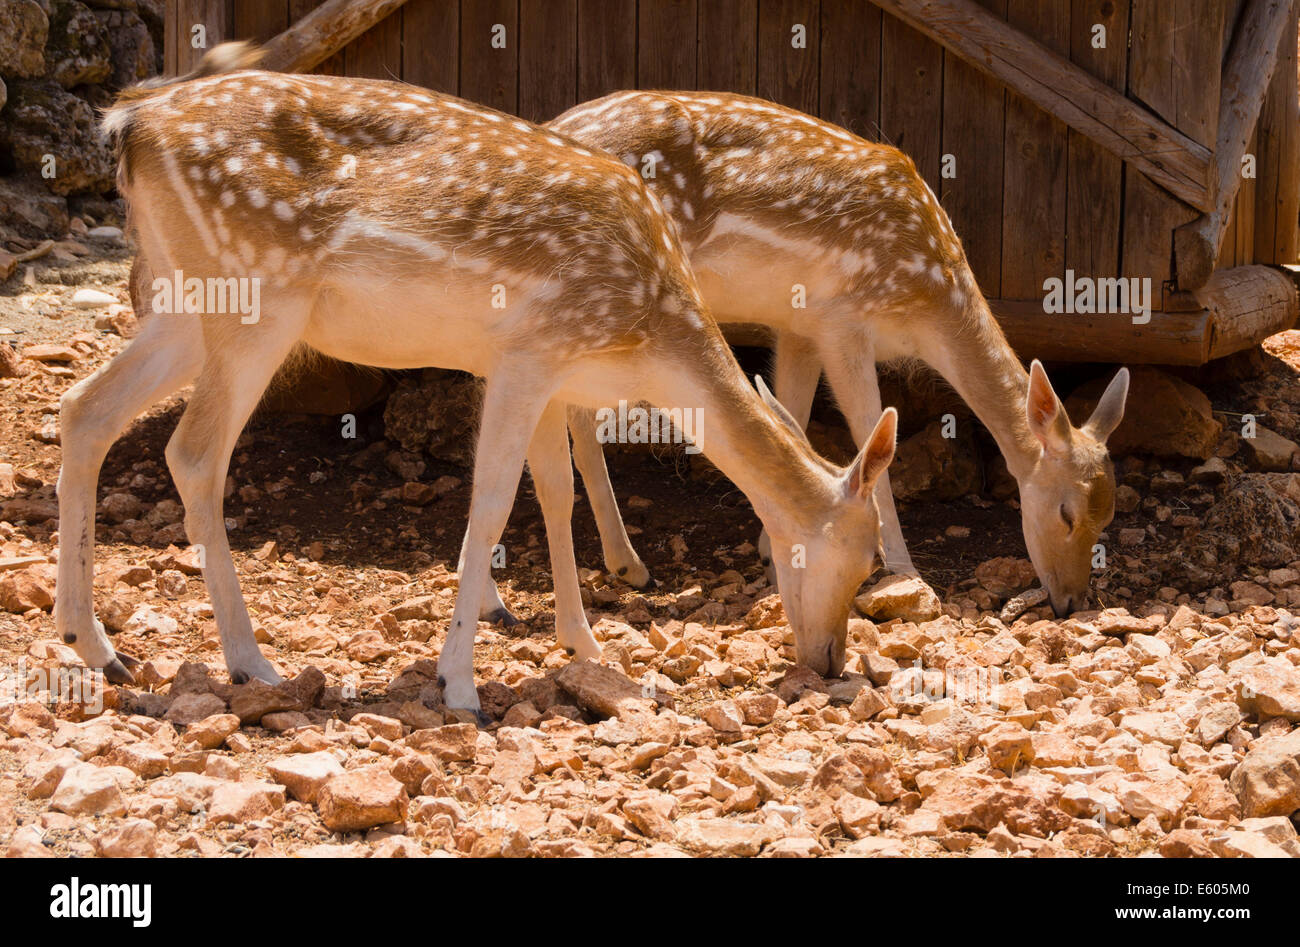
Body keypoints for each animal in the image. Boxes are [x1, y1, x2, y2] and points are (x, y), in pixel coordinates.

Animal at [55, 45, 898, 719]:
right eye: (862, 558)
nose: (829, 660)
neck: (645, 334)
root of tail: (129, 127)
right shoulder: (527, 352)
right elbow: (491, 500)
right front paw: (459, 684)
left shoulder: (554, 373)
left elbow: (555, 492)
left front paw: (582, 643)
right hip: (255, 297)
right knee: (192, 453)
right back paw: (249, 660)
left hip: (183, 304)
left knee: (83, 407)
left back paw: (94, 645)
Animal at [546, 90, 1130, 618]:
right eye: (1067, 513)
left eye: (1108, 517)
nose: (1070, 602)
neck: (926, 302)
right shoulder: (841, 319)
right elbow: (871, 435)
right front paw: (904, 570)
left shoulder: (798, 326)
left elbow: (793, 410)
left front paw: (776, 544)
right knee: (573, 413)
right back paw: (628, 564)